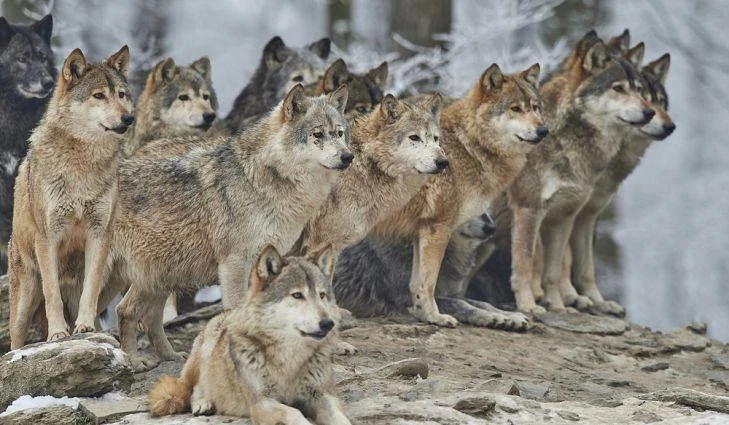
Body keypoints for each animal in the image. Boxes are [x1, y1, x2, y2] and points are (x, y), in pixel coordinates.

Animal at [8, 46, 134, 349]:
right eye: (98, 95)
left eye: (121, 95)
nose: (128, 118)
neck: (83, 165)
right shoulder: (48, 237)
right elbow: (52, 294)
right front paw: (57, 334)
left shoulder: (100, 234)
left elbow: (90, 290)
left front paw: (85, 327)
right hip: (23, 302)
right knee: (15, 342)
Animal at [110, 84, 351, 364]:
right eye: (318, 134)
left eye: (339, 133)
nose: (348, 156)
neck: (264, 178)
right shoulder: (234, 263)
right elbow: (237, 311)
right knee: (125, 310)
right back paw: (133, 361)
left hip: (162, 273)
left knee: (137, 313)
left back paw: (168, 356)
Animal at [148, 245, 351, 424]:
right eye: (297, 295)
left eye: (322, 295)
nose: (328, 324)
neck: (290, 359)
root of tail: (226, 312)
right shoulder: (261, 404)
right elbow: (295, 413)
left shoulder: (322, 396)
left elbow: (341, 417)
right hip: (207, 346)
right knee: (195, 386)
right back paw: (203, 403)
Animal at [334, 63, 547, 327]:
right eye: (515, 109)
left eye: (535, 107)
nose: (543, 130)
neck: (467, 145)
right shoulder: (438, 227)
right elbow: (433, 287)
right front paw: (435, 317)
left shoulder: (421, 232)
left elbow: (459, 296)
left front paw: (509, 316)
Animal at [505, 31, 656, 314]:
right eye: (618, 88)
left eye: (640, 90)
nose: (650, 112)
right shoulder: (529, 210)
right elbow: (525, 264)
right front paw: (528, 306)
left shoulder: (570, 215)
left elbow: (560, 270)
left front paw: (559, 306)